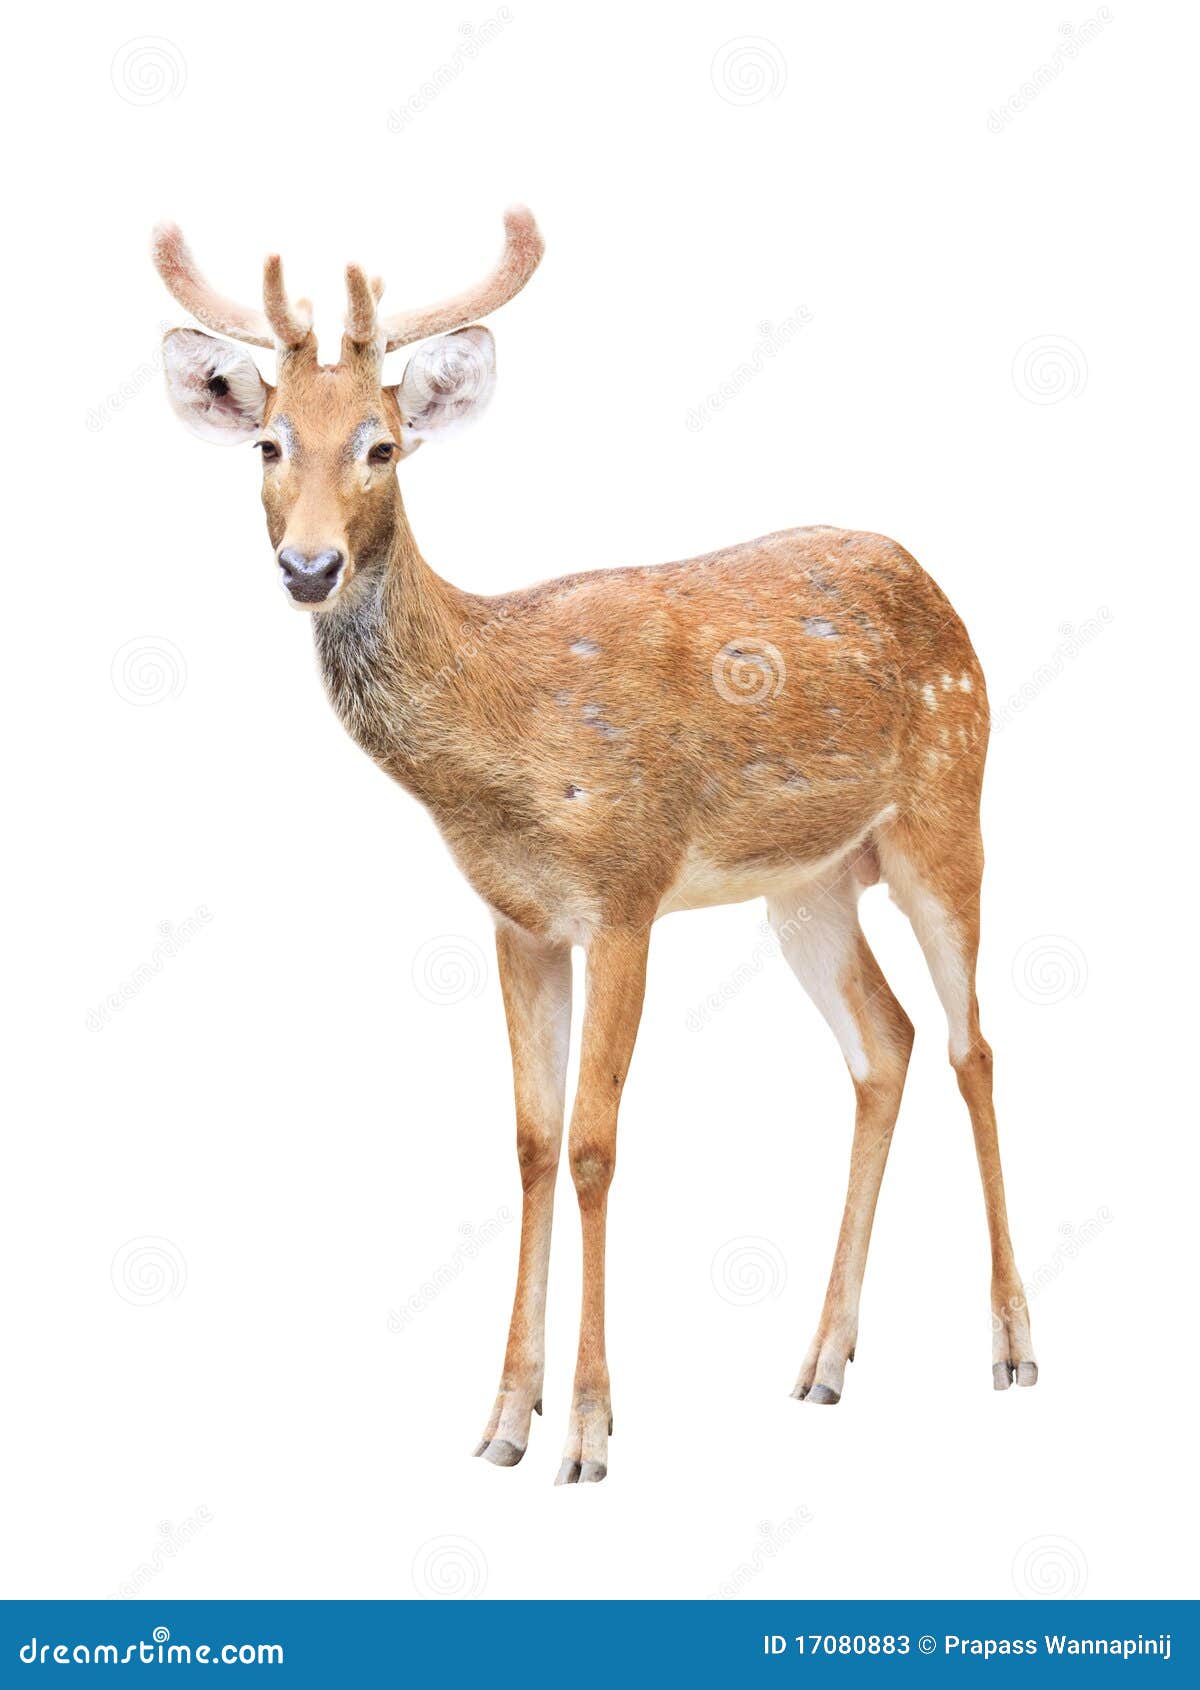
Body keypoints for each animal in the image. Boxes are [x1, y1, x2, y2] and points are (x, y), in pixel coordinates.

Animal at [152, 207, 1037, 1486]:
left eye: (384, 447)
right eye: (268, 443)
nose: (309, 567)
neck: (503, 748)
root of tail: (936, 582)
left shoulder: (627, 886)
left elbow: (594, 1144)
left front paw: (588, 1430)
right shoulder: (518, 918)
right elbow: (528, 1140)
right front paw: (501, 1421)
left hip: (947, 802)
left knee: (975, 1043)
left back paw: (1012, 1346)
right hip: (811, 888)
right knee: (887, 1042)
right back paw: (823, 1360)